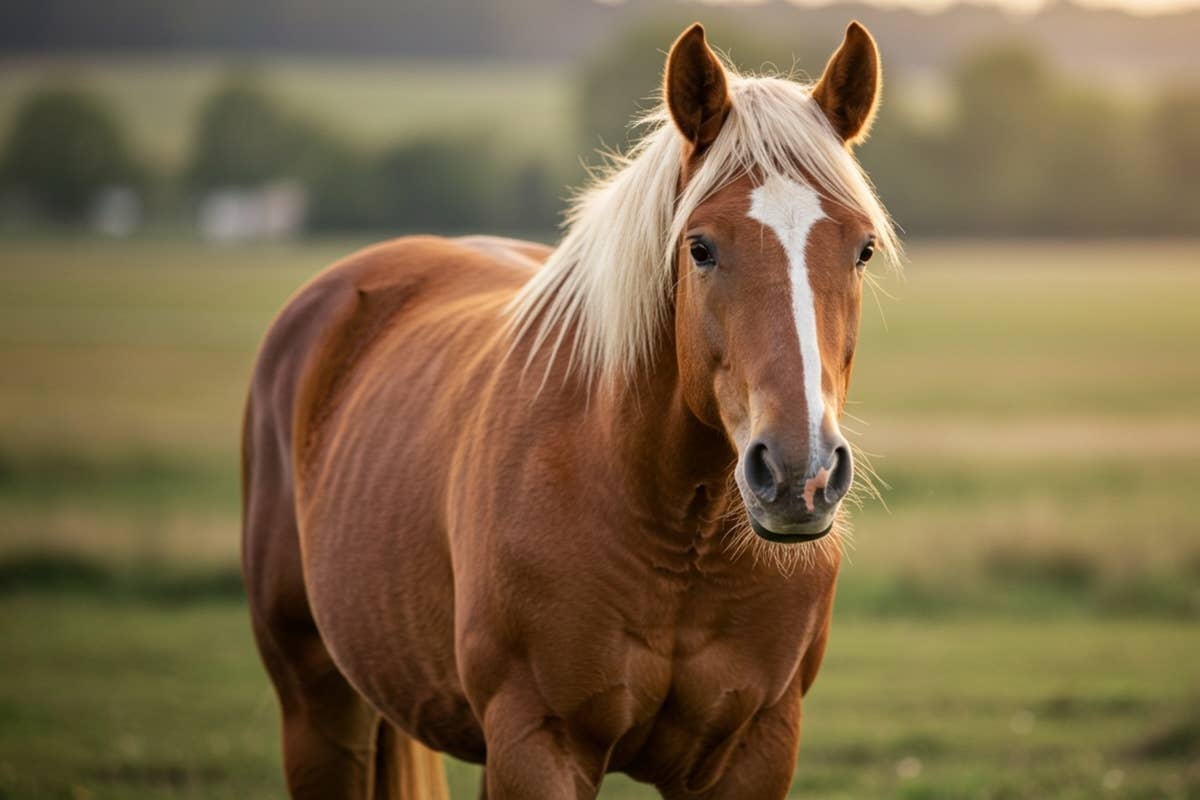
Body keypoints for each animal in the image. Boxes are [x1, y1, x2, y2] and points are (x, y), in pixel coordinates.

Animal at [243, 20, 897, 799]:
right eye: (700, 247)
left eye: (862, 249)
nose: (801, 473)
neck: (678, 530)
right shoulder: (537, 742)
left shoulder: (754, 749)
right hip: (318, 709)